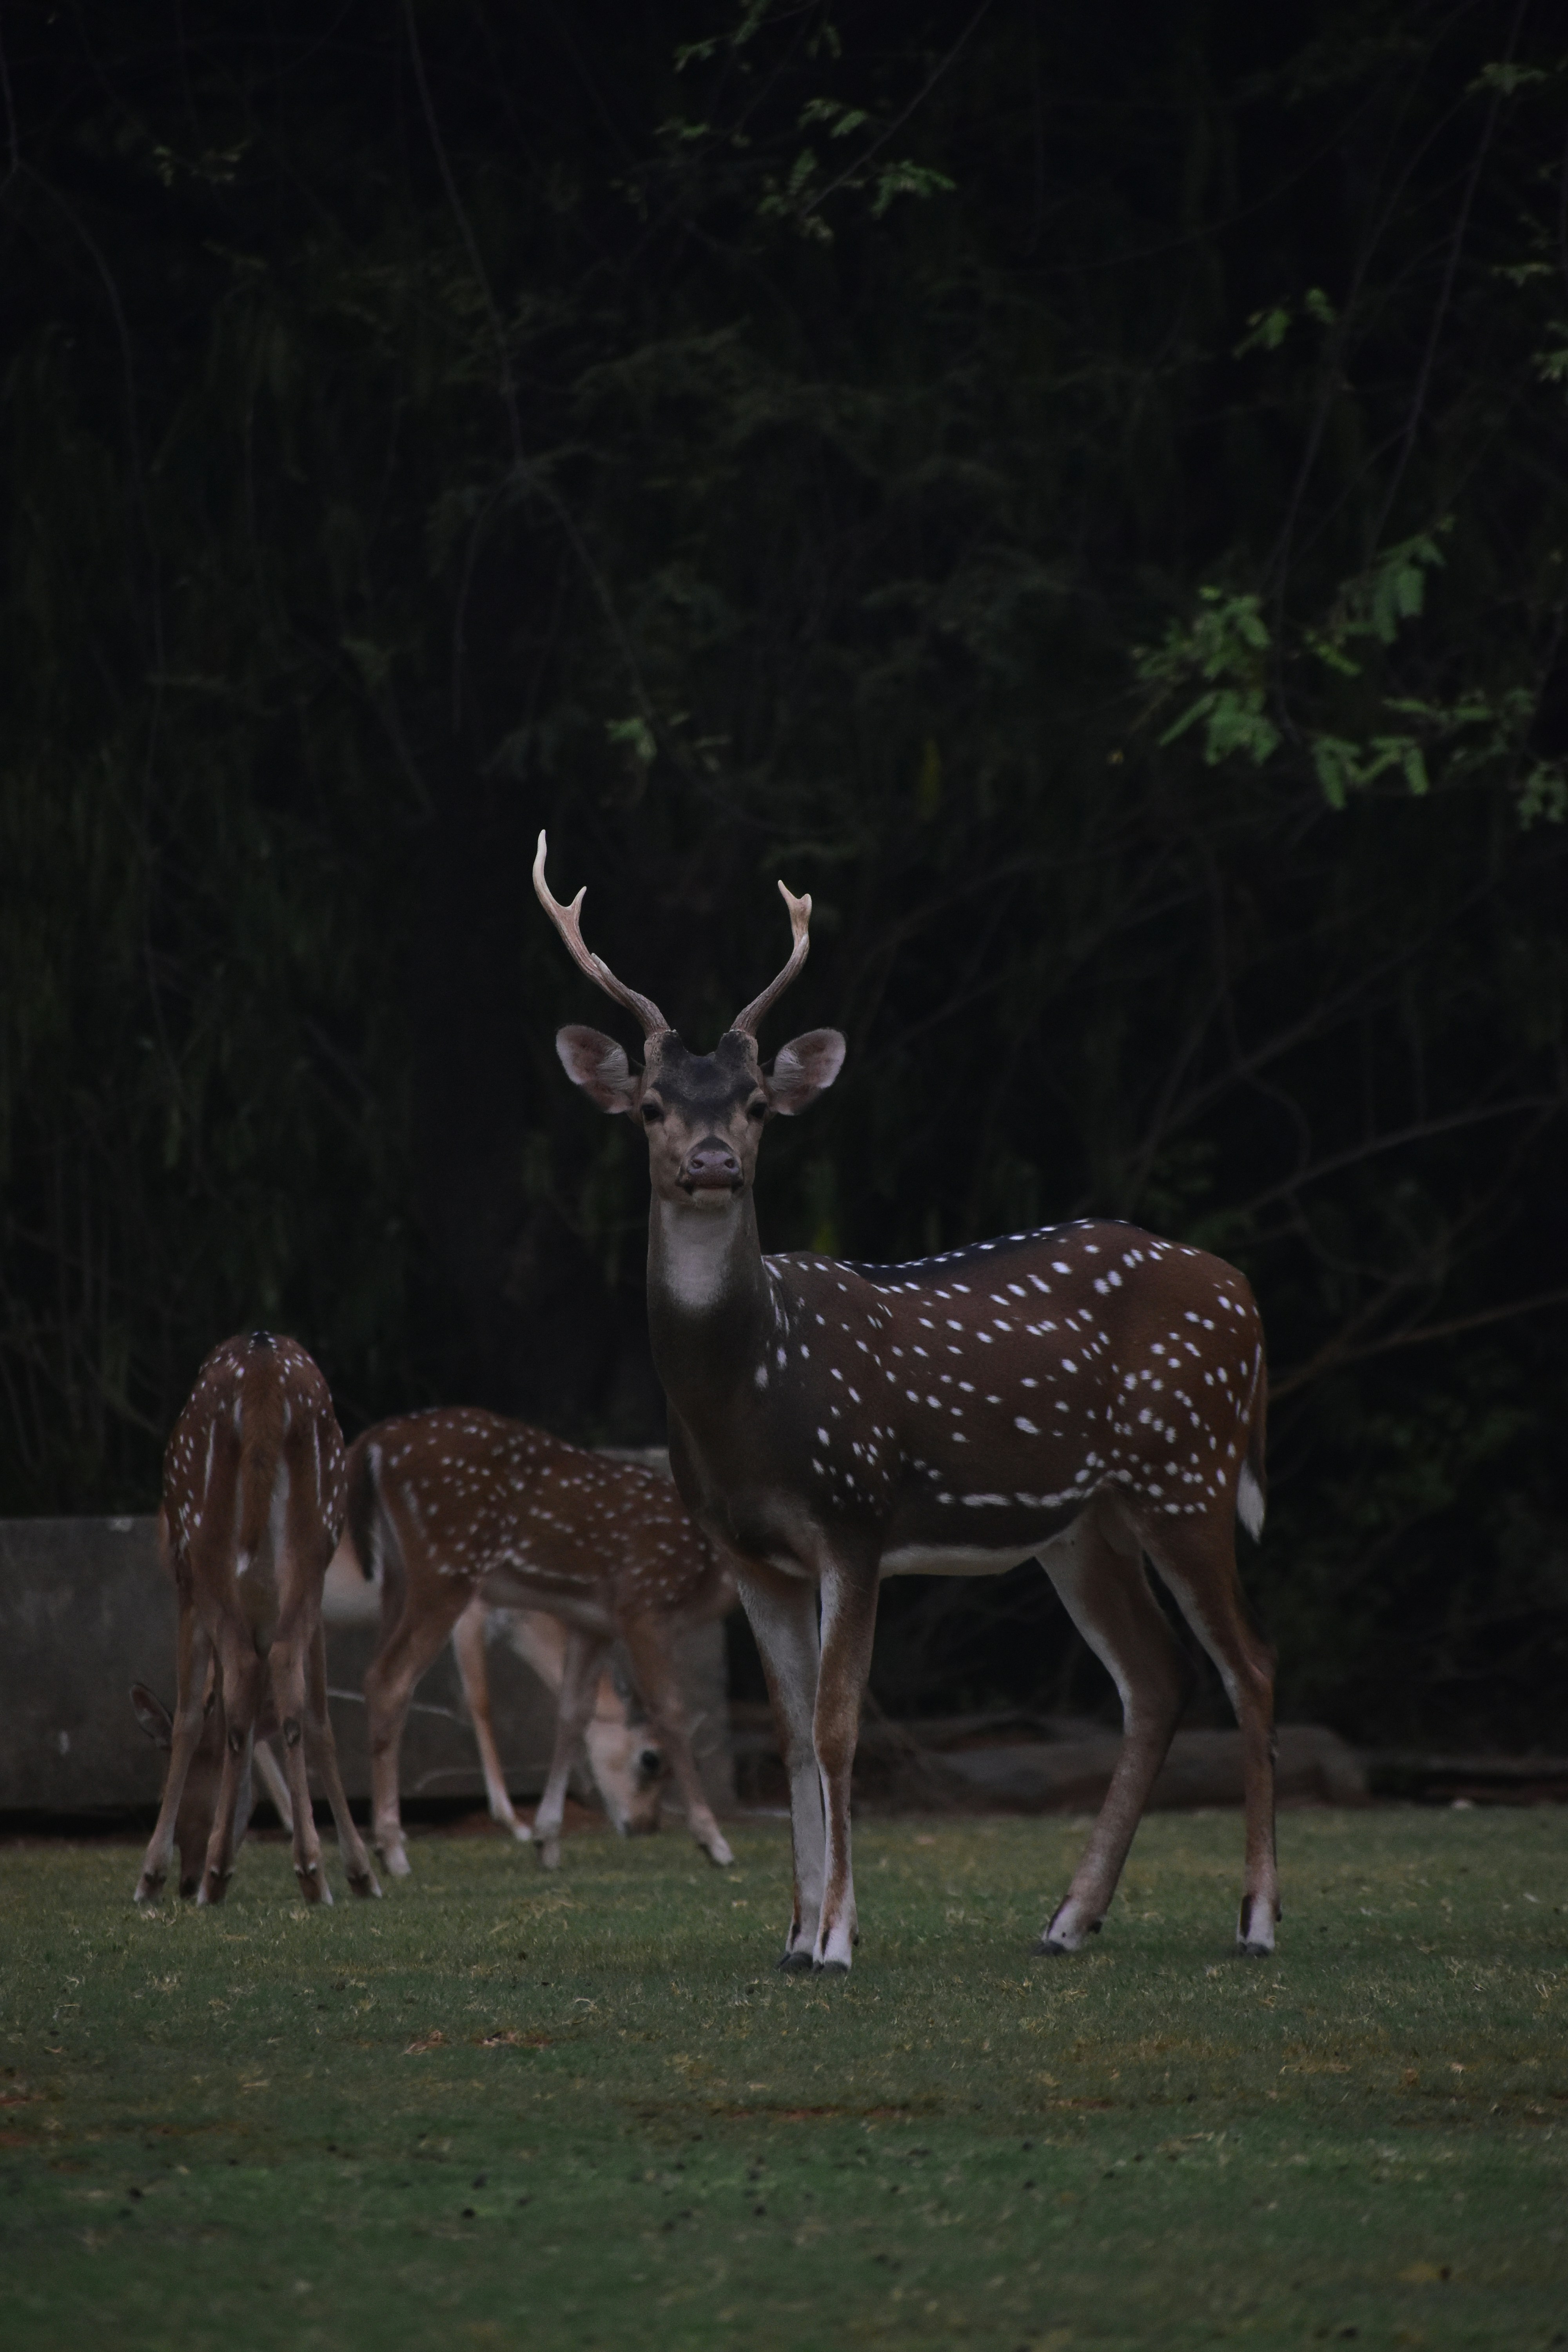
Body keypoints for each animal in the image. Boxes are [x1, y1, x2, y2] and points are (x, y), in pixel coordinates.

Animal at [133, 1332, 381, 1906]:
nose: (186, 1881)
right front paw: (361, 1872)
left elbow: (193, 1716)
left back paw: (239, 1874)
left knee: (240, 1672)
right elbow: (308, 1719)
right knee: (288, 1679)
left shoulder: (187, 1591)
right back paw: (312, 1872)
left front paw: (154, 1875)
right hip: (314, 1549)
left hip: (204, 1553)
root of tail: (264, 1376)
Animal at [343, 1408, 737, 1871]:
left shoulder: (594, 1623)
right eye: (650, 1760)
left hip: (395, 1577)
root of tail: (373, 1443)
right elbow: (671, 1710)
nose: (646, 1826)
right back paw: (392, 1851)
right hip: (448, 1566)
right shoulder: (644, 1604)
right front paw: (714, 1842)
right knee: (390, 1680)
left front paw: (547, 1841)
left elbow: (572, 1713)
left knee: (372, 1674)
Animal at [534, 831, 1277, 1974]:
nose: (711, 1162)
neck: (750, 1400)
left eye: (757, 1105)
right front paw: (793, 1936)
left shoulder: (855, 1512)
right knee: (1159, 1679)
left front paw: (838, 1938)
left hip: (1186, 1468)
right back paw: (1067, 1920)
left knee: (1251, 1668)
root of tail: (1243, 1294)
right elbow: (791, 1734)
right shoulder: (748, 1549)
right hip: (1084, 1523)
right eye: (652, 1106)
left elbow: (838, 1726)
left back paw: (1256, 1920)